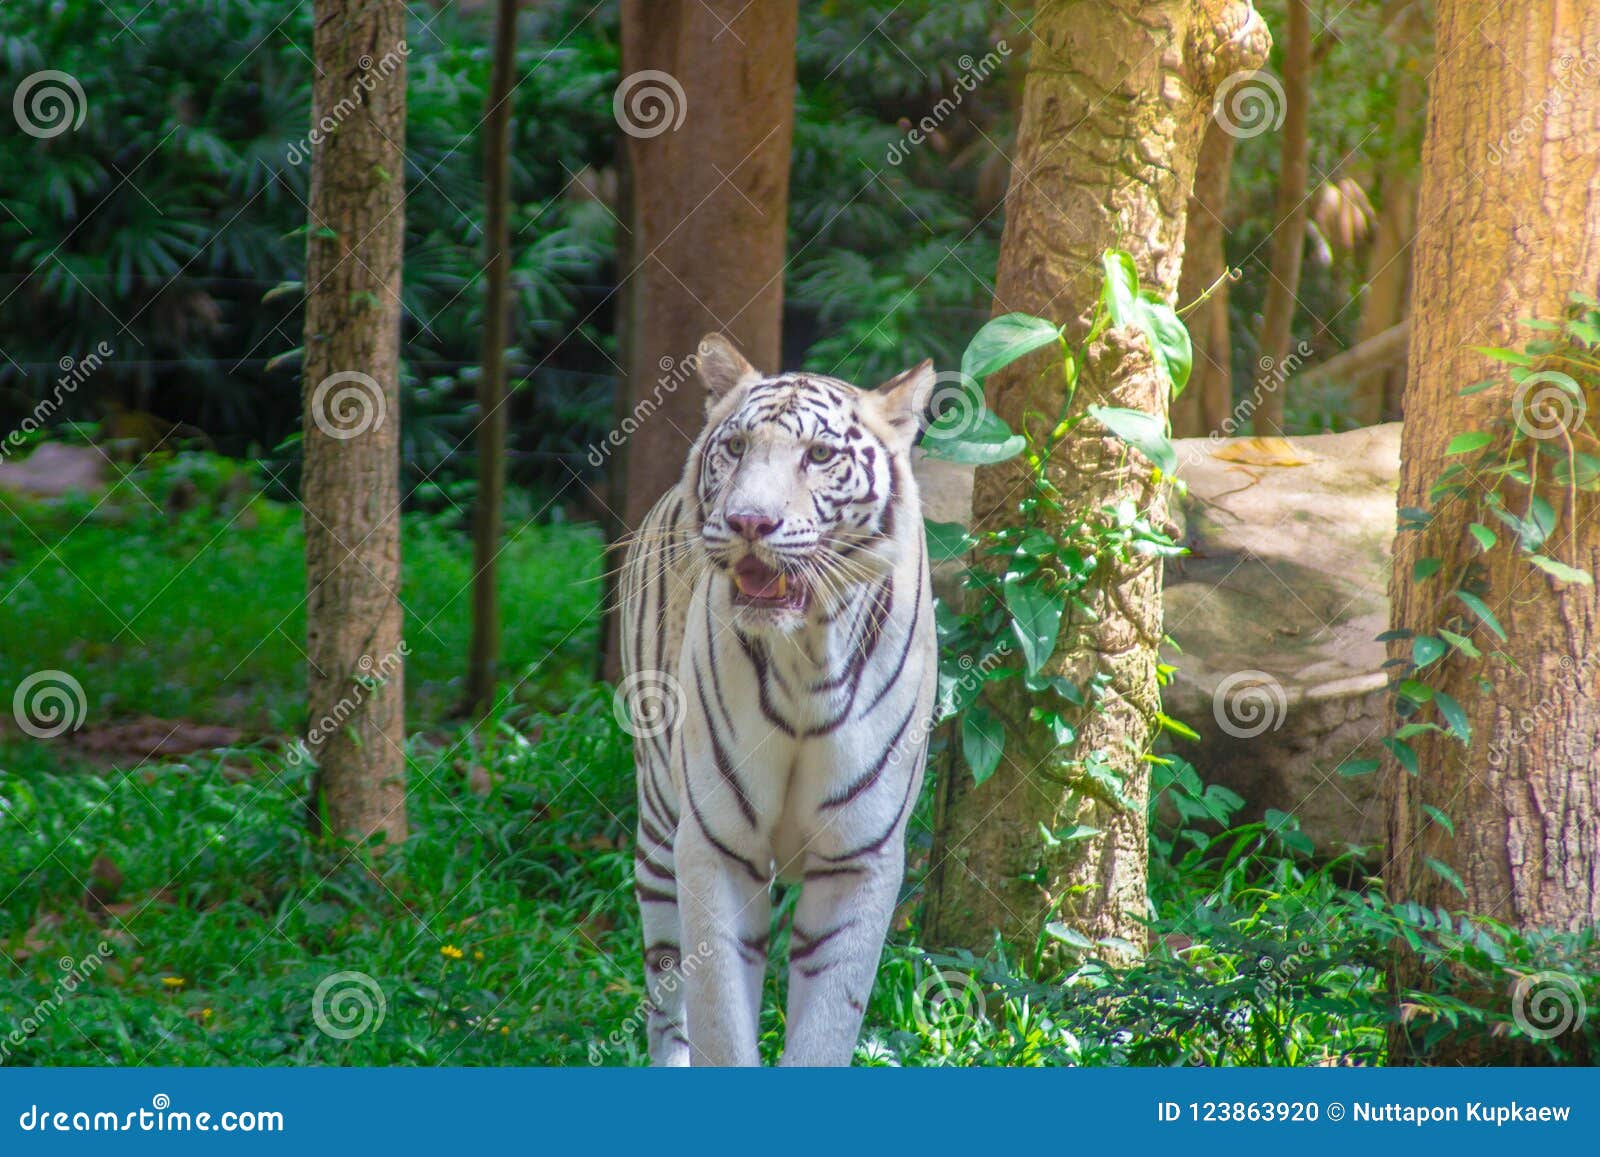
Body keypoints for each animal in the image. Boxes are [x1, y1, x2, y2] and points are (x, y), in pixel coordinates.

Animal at [619, 333, 937, 1066]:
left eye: (818, 455)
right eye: (736, 447)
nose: (748, 521)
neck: (806, 660)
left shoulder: (859, 857)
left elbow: (825, 1030)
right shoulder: (716, 846)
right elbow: (720, 1024)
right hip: (658, 824)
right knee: (666, 992)